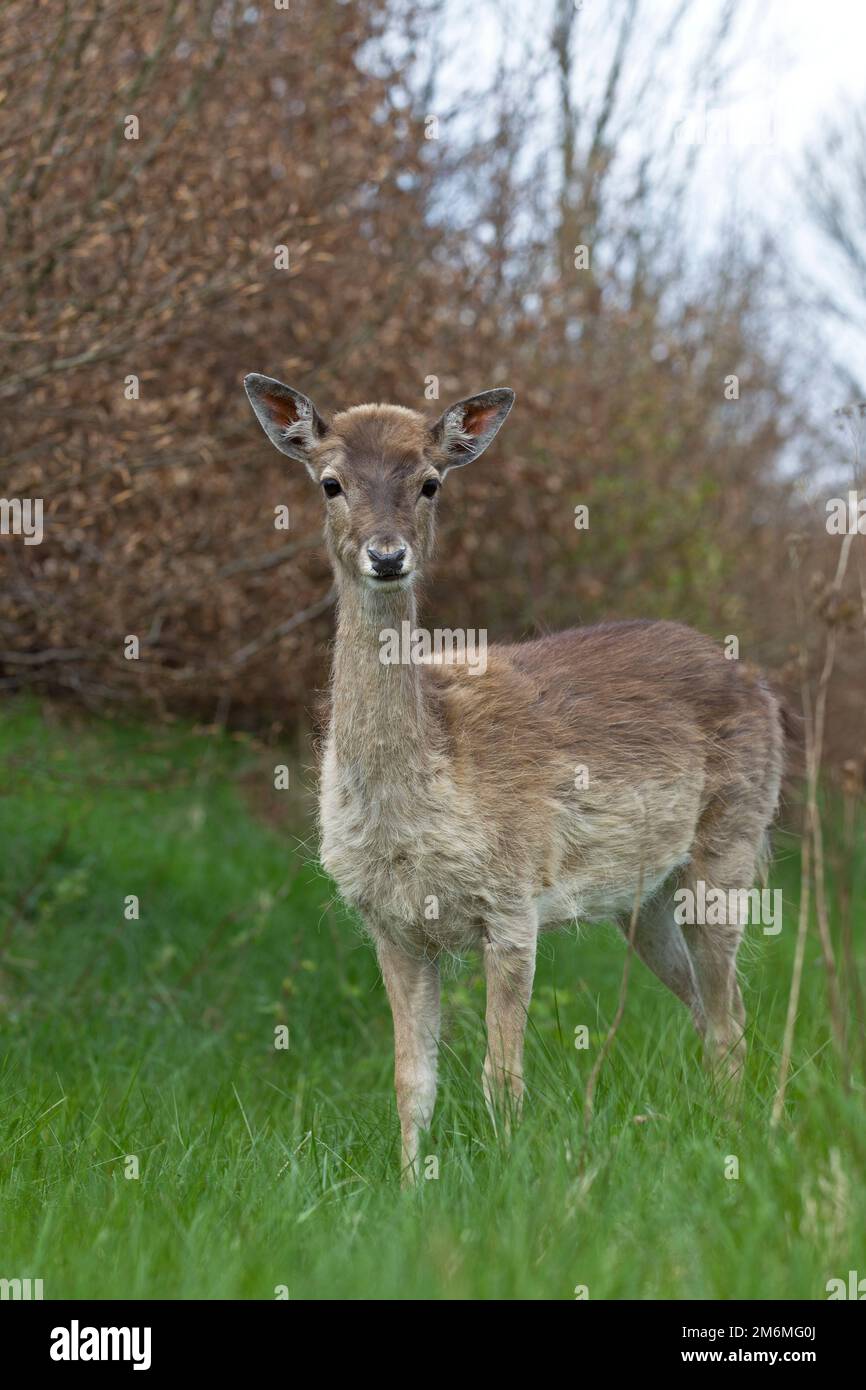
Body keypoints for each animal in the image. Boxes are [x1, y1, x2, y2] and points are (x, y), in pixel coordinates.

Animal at [244, 374, 786, 1182]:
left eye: (431, 482)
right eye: (330, 482)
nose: (387, 555)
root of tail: (762, 687)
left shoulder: (512, 900)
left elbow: (503, 1075)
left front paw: (506, 1182)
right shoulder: (391, 924)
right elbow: (411, 1078)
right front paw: (410, 1189)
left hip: (731, 845)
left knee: (728, 1017)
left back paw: (737, 1144)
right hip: (645, 900)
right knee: (712, 1008)